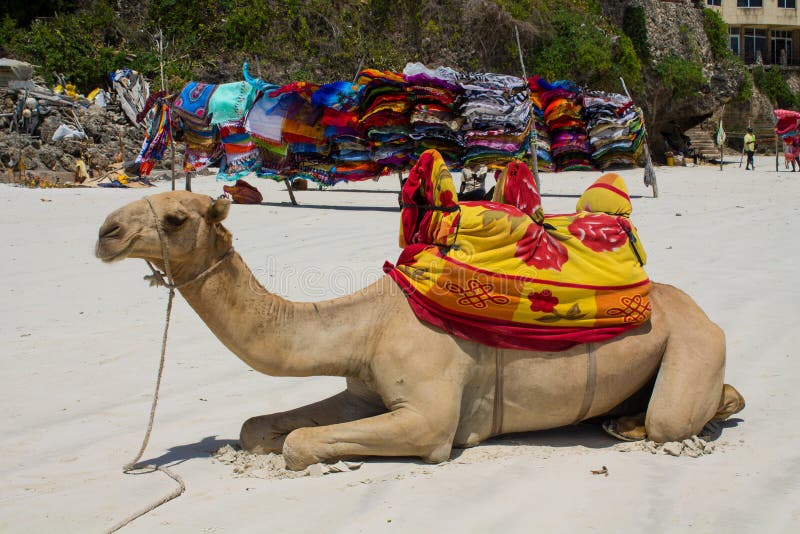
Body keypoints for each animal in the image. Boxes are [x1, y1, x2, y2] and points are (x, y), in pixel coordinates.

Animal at [96, 191, 745, 470]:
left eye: (174, 217)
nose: (105, 232)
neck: (371, 322)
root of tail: (707, 315)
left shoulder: (429, 417)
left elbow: (299, 443)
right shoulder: (364, 389)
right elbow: (259, 427)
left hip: (693, 343)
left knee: (675, 418)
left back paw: (645, 424)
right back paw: (621, 419)